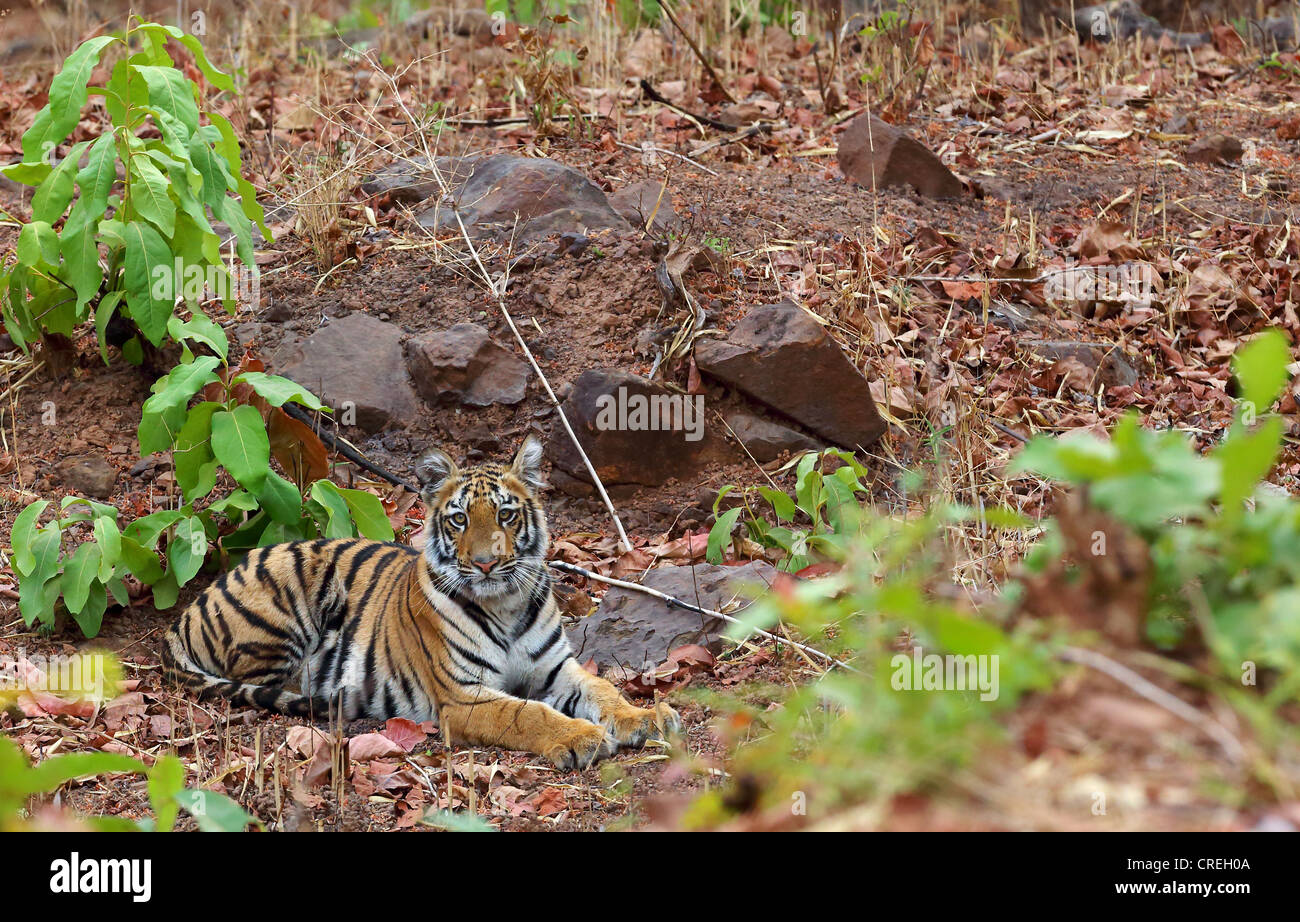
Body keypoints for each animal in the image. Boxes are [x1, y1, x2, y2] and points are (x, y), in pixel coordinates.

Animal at [161, 437, 680, 769]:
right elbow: (527, 713)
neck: (506, 603)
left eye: (506, 515)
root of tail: (185, 615)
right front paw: (580, 737)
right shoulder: (462, 695)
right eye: (459, 519)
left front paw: (647, 717)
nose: (486, 564)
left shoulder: (556, 669)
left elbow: (603, 689)